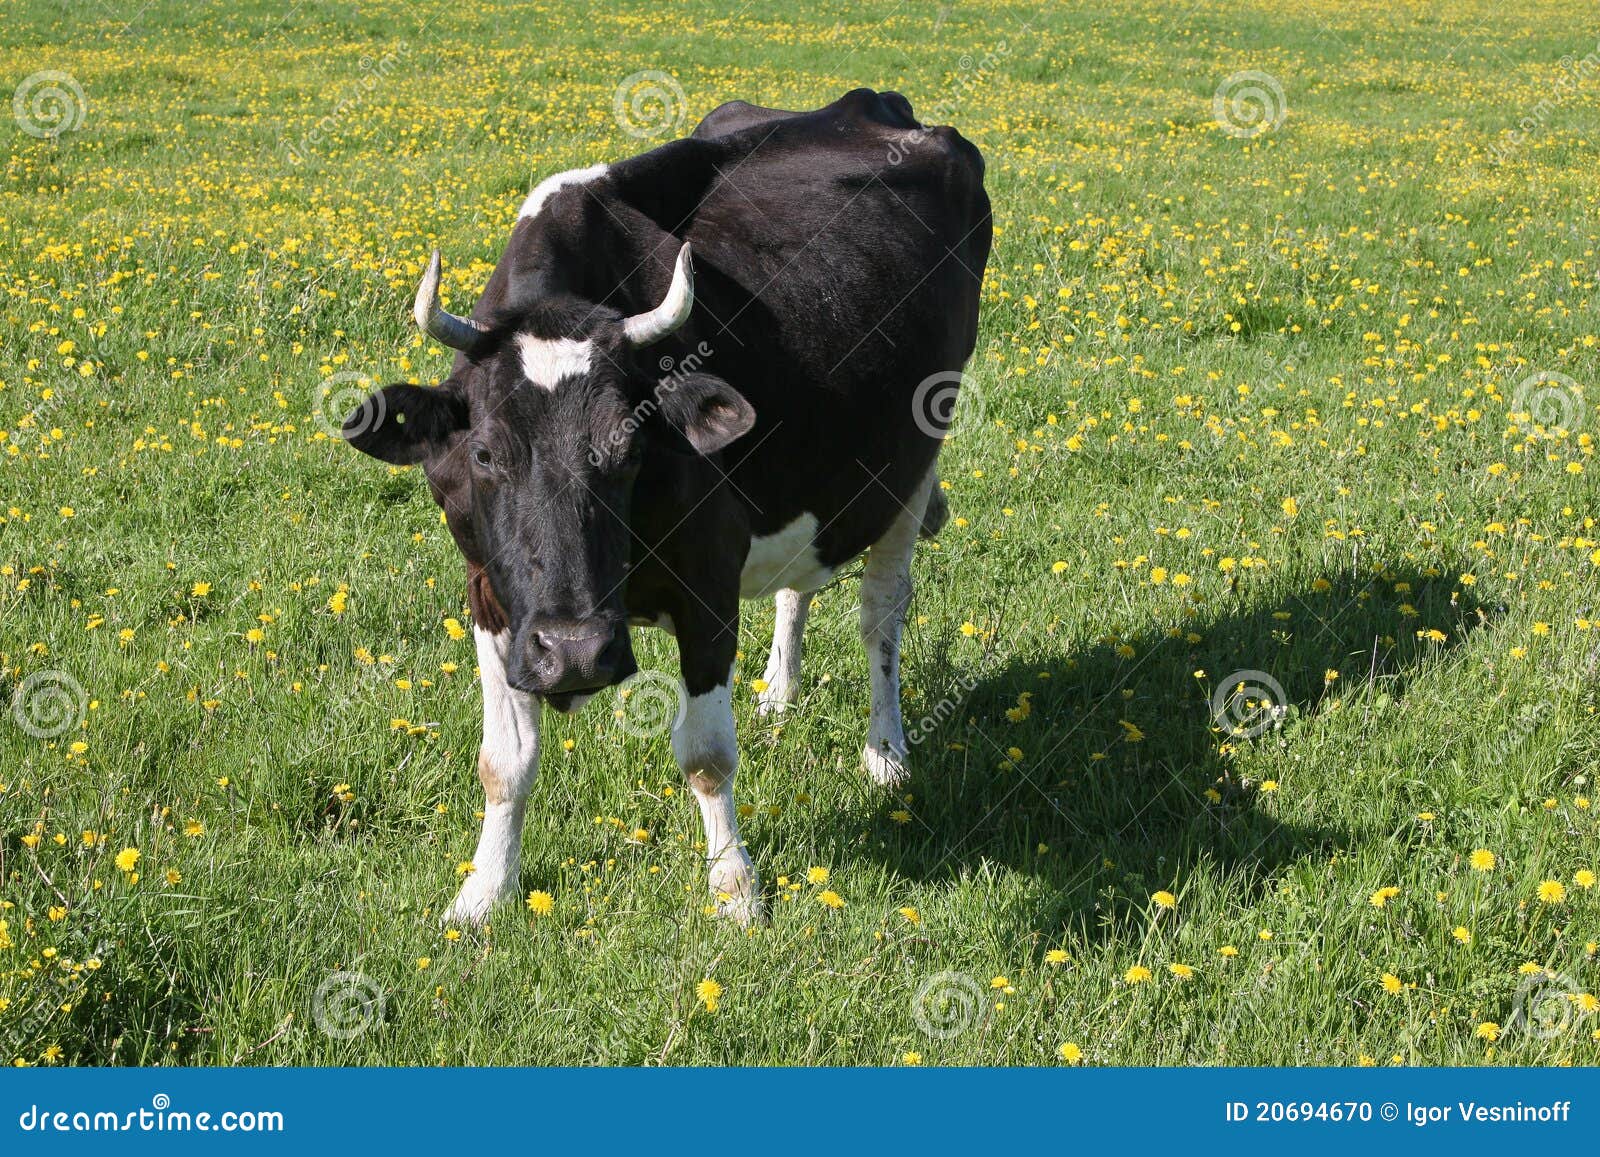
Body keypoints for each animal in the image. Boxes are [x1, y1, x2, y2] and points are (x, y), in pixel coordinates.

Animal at [342, 89, 991, 925]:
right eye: (483, 454)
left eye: (629, 447)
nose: (574, 651)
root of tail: (873, 103)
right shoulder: (487, 588)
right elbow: (503, 761)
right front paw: (482, 893)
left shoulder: (706, 580)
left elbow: (707, 755)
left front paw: (736, 887)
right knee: (800, 581)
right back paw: (779, 691)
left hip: (912, 459)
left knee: (882, 610)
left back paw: (885, 752)